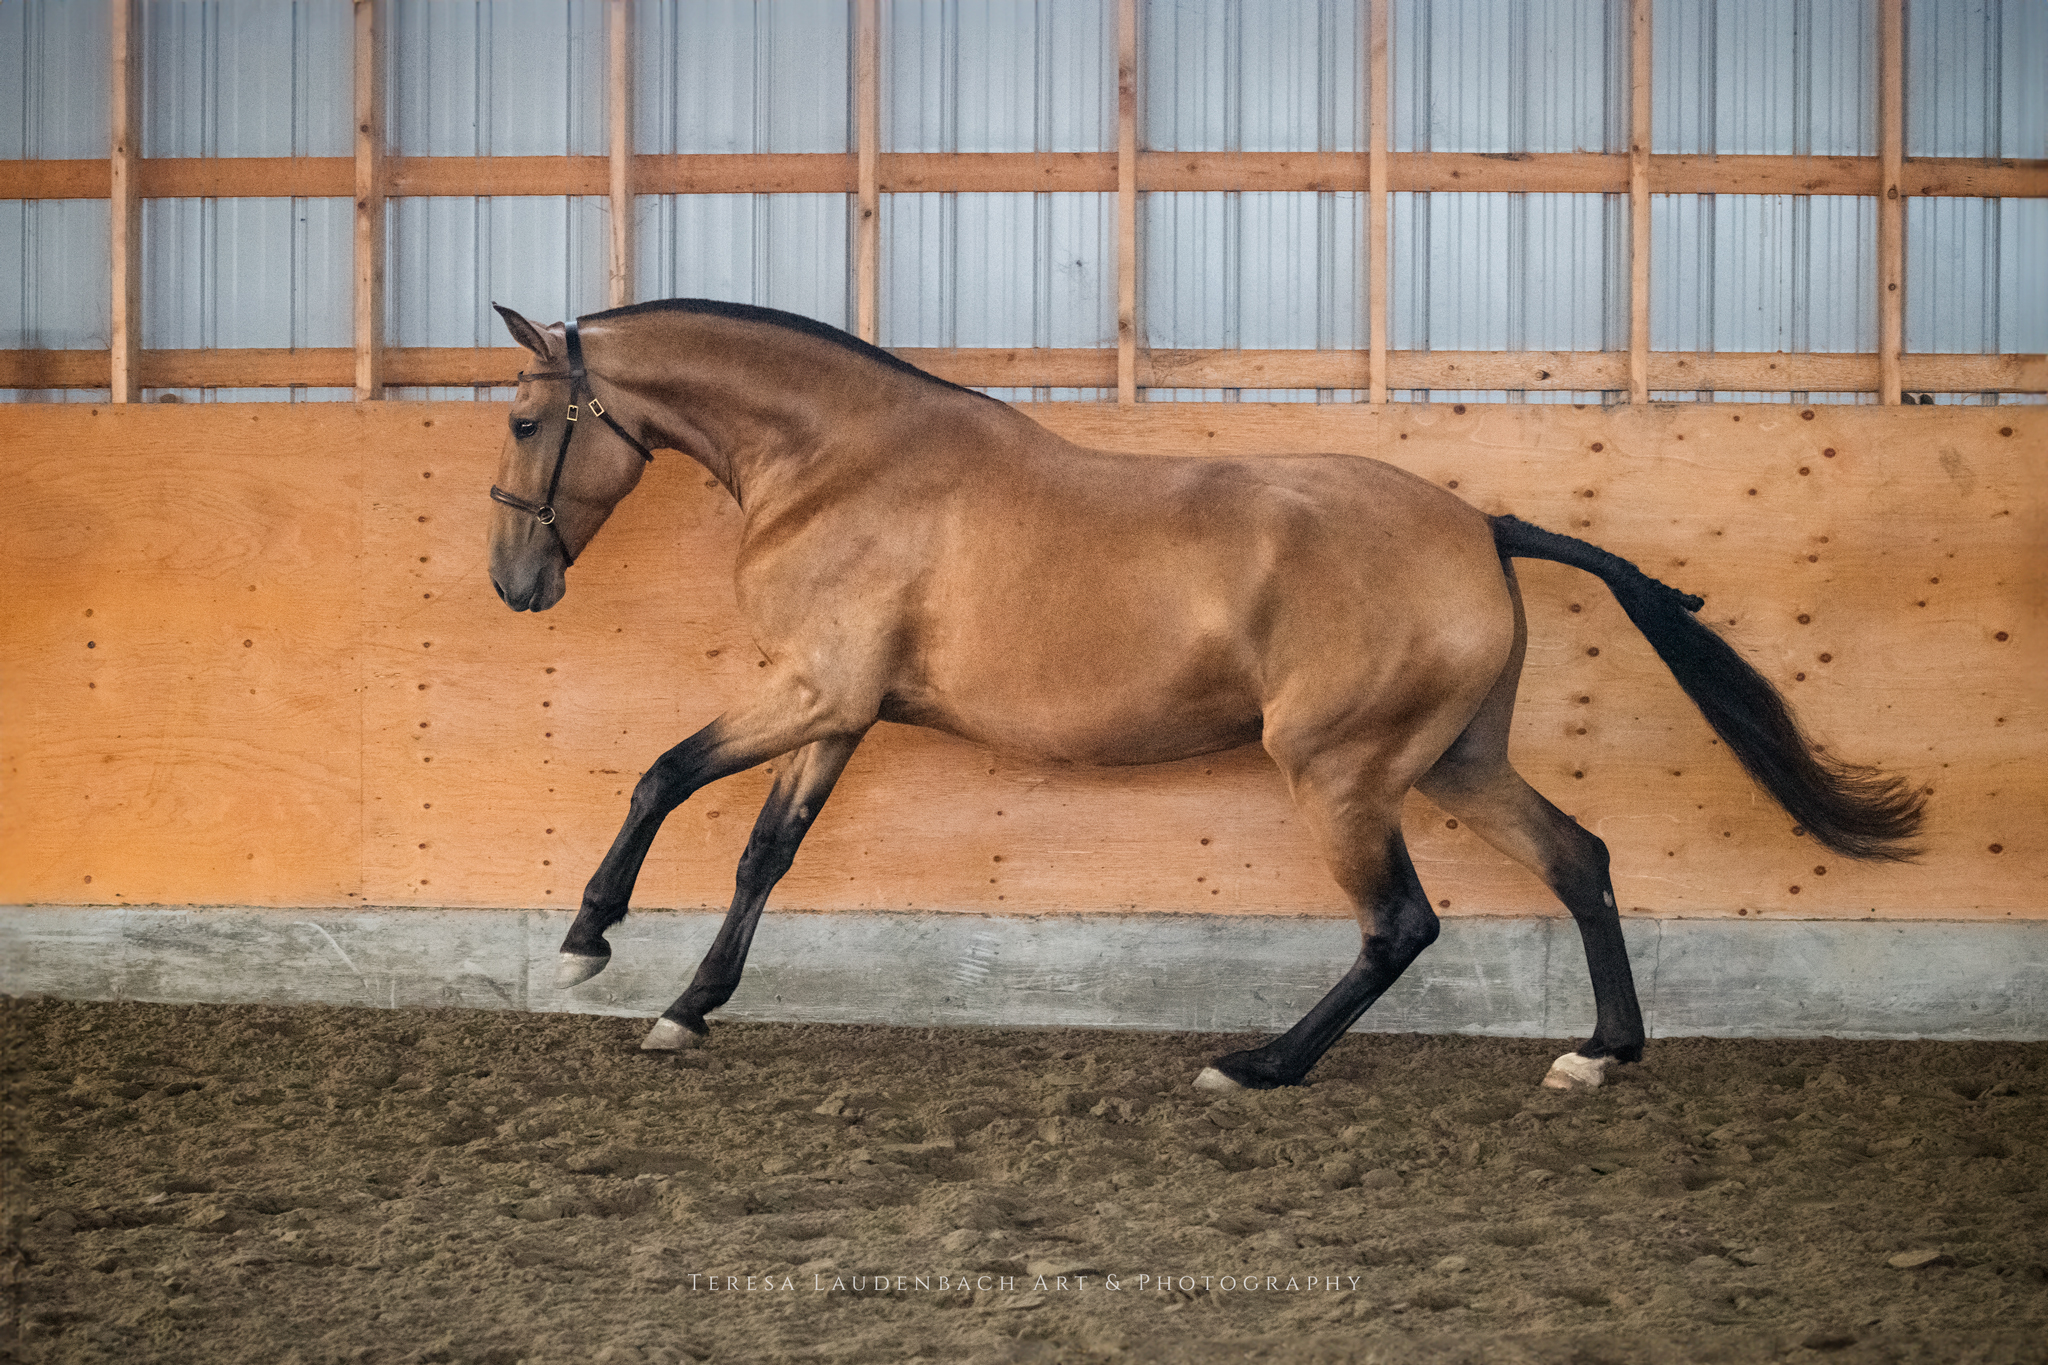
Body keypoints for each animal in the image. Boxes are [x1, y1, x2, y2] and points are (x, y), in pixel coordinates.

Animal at [483, 299, 1924, 1093]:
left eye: (521, 421)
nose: (514, 583)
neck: (840, 465)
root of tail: (1482, 527)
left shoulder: (807, 692)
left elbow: (664, 774)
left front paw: (587, 942)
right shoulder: (835, 714)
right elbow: (762, 856)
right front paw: (684, 1010)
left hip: (1341, 773)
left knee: (1400, 925)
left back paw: (1257, 1065)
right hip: (1454, 764)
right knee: (1579, 859)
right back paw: (1597, 1052)